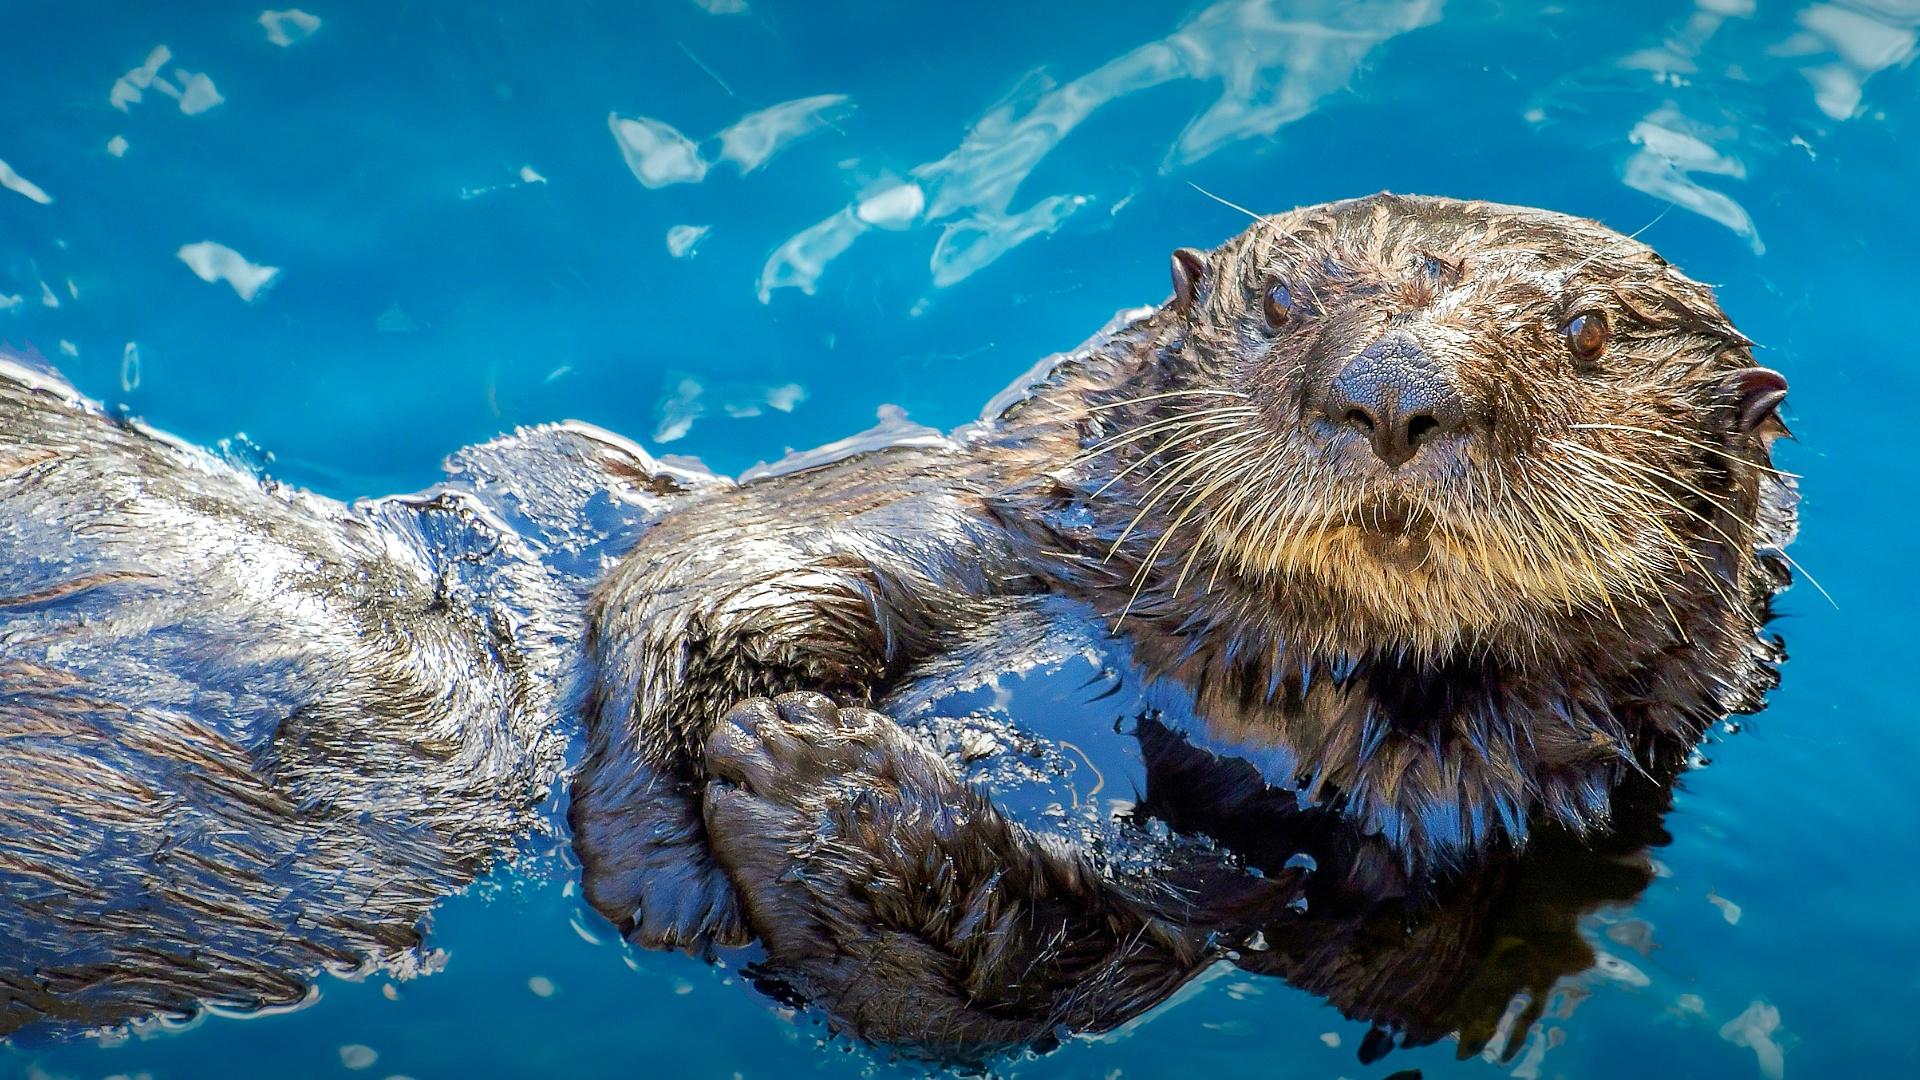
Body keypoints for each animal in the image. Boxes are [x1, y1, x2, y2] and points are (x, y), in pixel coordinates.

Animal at [0, 194, 1794, 1061]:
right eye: (1285, 304)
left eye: (1586, 331)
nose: (1395, 390)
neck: (1216, 707)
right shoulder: (955, 507)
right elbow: (707, 568)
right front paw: (717, 744)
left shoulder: (1384, 896)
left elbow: (981, 985)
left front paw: (823, 783)